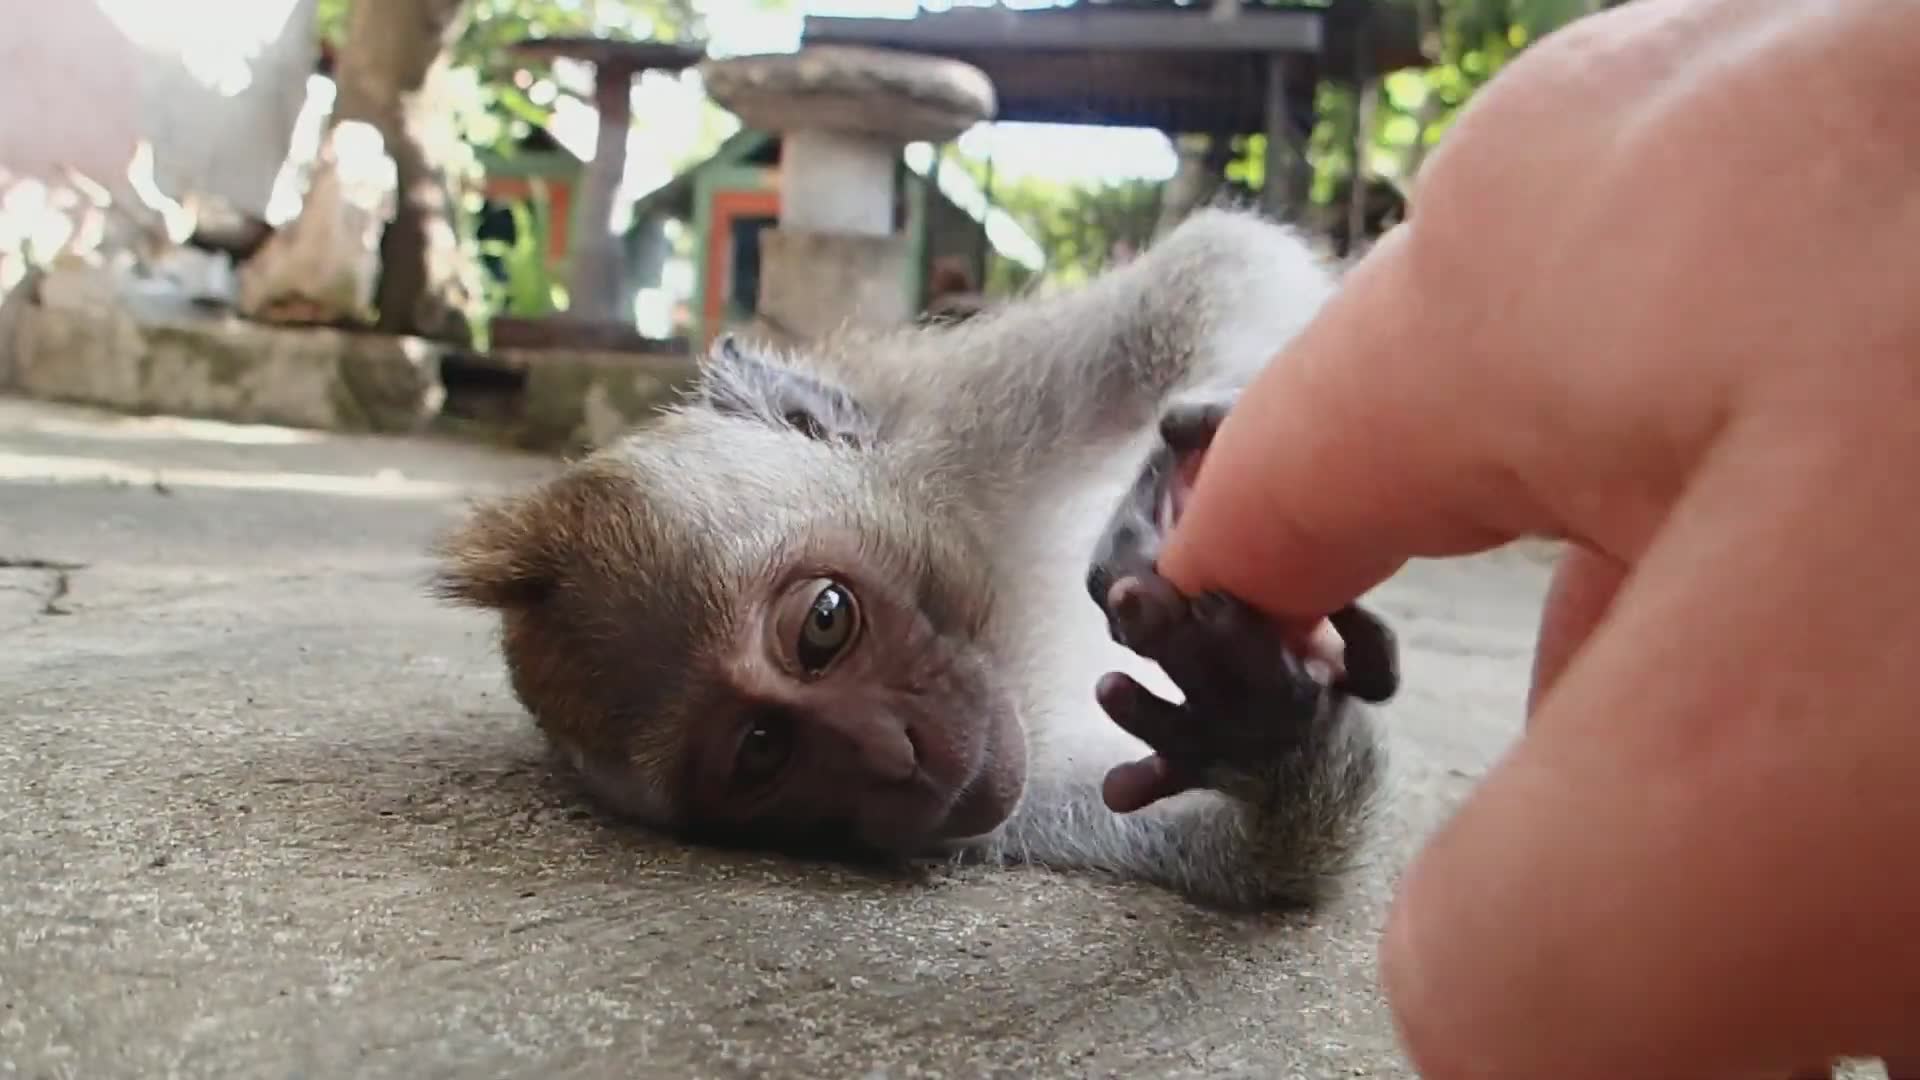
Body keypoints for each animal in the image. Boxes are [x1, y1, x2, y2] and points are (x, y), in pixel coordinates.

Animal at [431, 207, 1398, 911]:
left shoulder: (985, 419)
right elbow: (1227, 855)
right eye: (761, 752)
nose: (895, 757)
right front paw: (1261, 731)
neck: (1003, 626)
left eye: (824, 623)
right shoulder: (1006, 788)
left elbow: (1211, 268)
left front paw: (1201, 478)